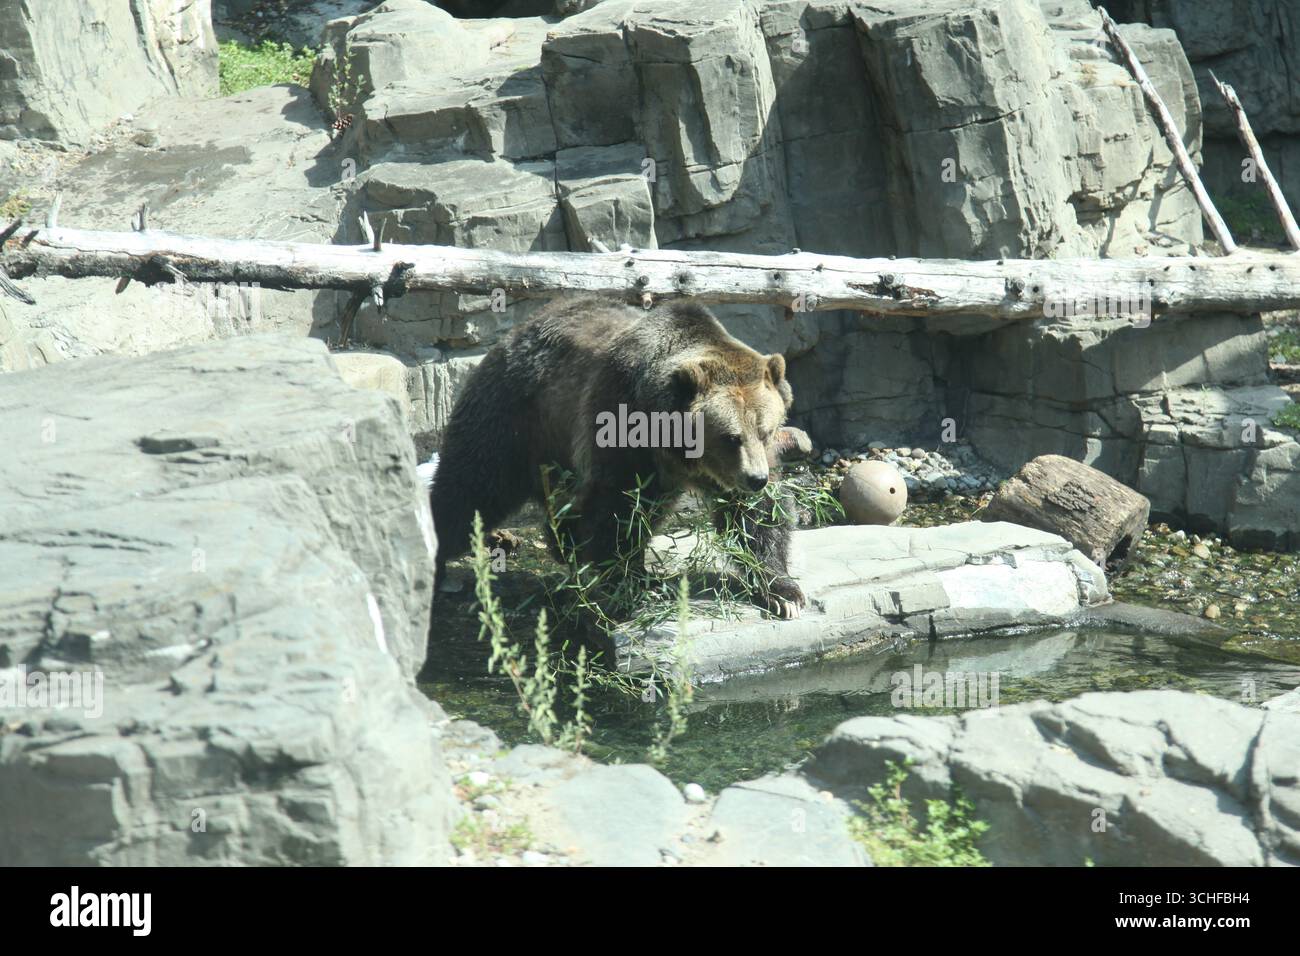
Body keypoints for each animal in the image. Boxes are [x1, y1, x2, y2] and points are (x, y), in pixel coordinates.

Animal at [430, 295, 806, 620]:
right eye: (731, 437)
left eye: (766, 430)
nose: (754, 479)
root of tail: (517, 331)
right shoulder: (622, 425)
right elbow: (617, 509)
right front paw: (628, 584)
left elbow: (759, 517)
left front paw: (783, 592)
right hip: (514, 416)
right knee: (470, 485)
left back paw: (565, 543)